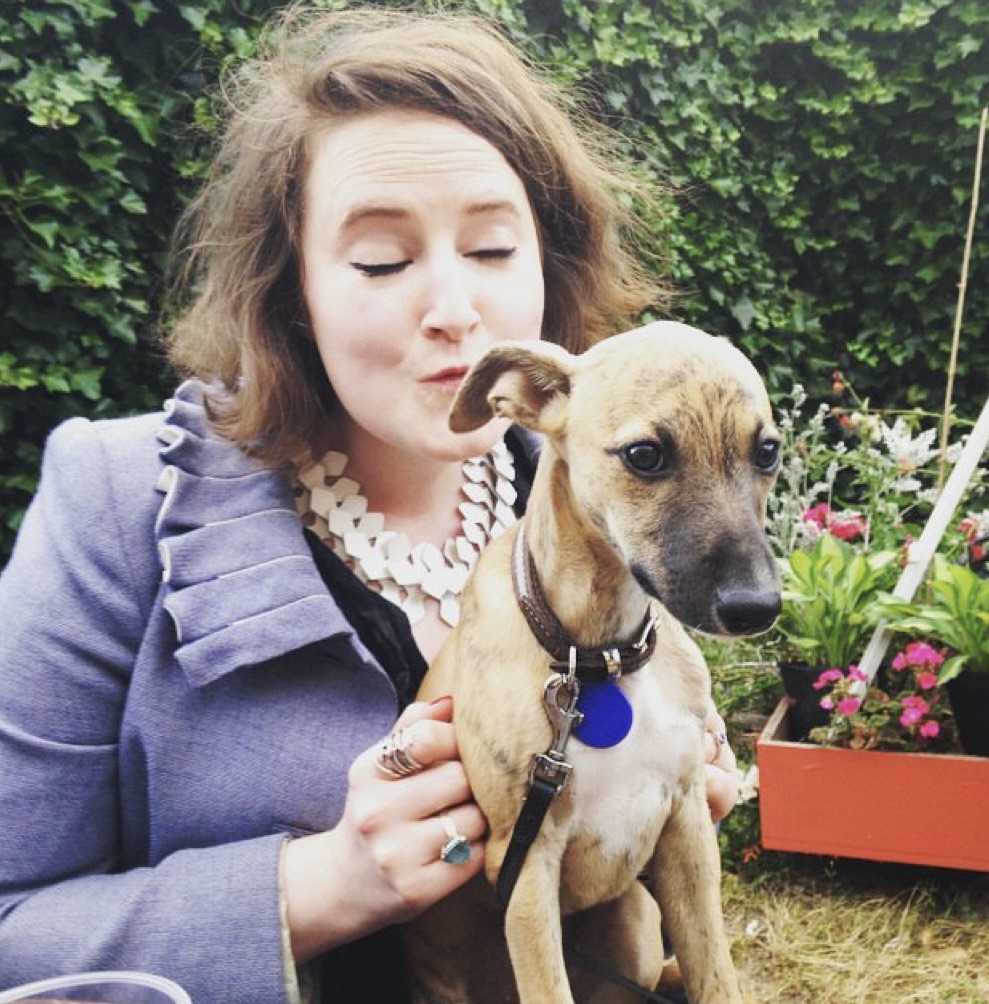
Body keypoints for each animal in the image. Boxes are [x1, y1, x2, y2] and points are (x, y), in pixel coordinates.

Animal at [405, 321, 781, 1004]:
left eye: (766, 451)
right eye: (644, 455)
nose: (756, 607)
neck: (600, 658)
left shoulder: (687, 829)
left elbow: (715, 972)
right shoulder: (525, 866)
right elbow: (548, 986)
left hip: (636, 924)